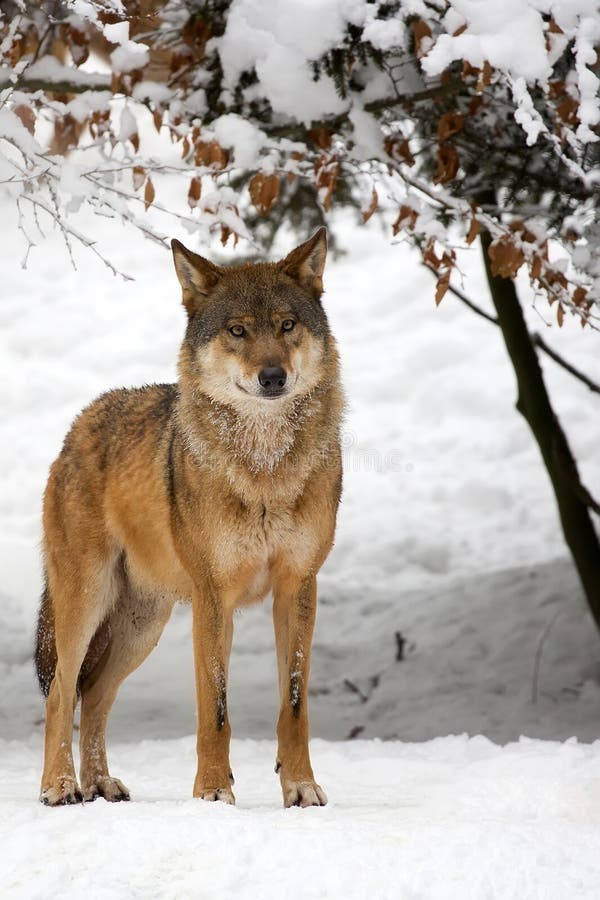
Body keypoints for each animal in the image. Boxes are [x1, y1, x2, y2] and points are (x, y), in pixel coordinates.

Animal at [35, 228, 343, 808]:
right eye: (237, 331)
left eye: (286, 326)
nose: (273, 376)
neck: (264, 467)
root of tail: (77, 424)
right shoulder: (212, 597)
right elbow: (215, 710)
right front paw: (213, 794)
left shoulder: (299, 586)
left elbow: (294, 706)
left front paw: (300, 788)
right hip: (87, 602)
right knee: (62, 691)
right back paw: (60, 786)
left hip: (142, 625)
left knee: (95, 693)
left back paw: (99, 783)